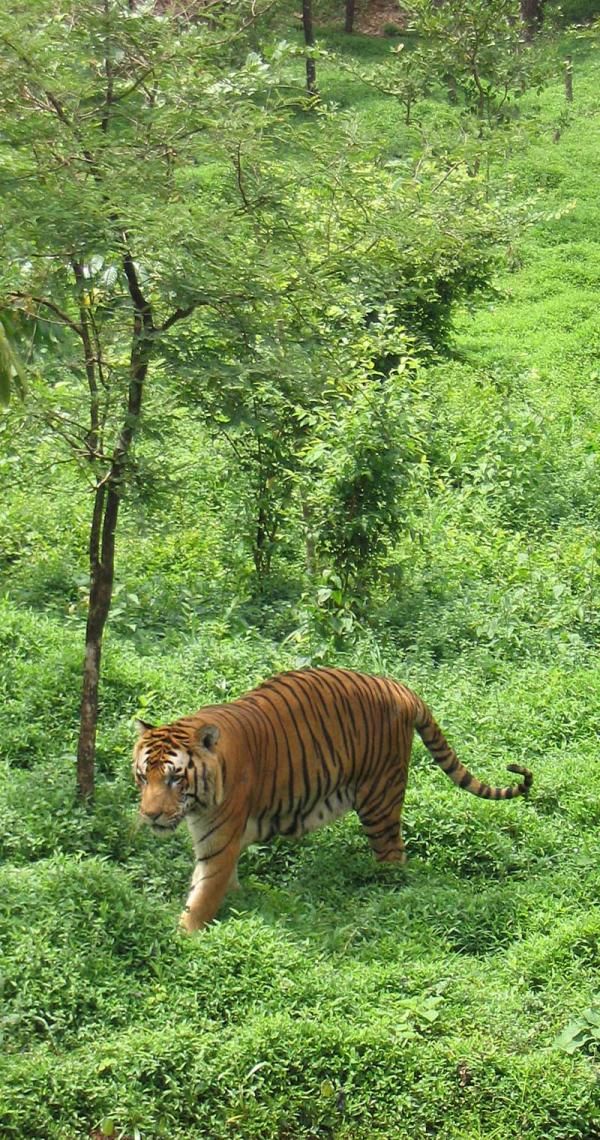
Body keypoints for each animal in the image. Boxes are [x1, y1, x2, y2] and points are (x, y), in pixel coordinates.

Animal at [132, 667, 532, 932]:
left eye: (175, 777)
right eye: (142, 776)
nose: (150, 816)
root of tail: (399, 687)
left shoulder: (219, 840)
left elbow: (202, 895)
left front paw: (184, 938)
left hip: (379, 798)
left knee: (393, 856)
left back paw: (385, 899)